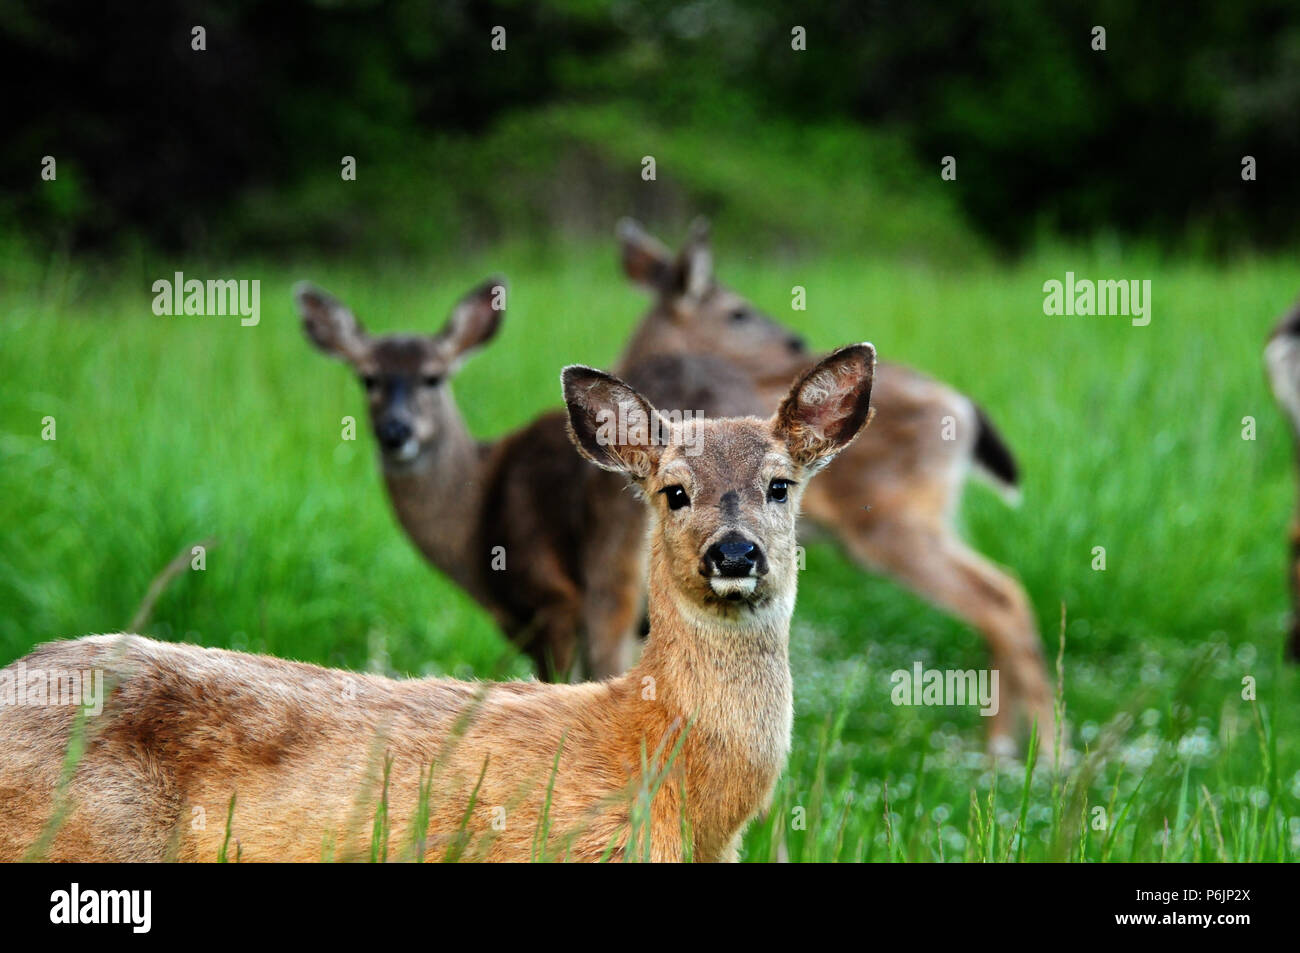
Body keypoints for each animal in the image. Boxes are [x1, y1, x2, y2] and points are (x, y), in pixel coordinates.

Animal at [615, 219, 1055, 753]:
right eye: (738, 311)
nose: (795, 341)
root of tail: (963, 408)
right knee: (1002, 591)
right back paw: (1004, 748)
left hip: (893, 518)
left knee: (999, 597)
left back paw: (1043, 753)